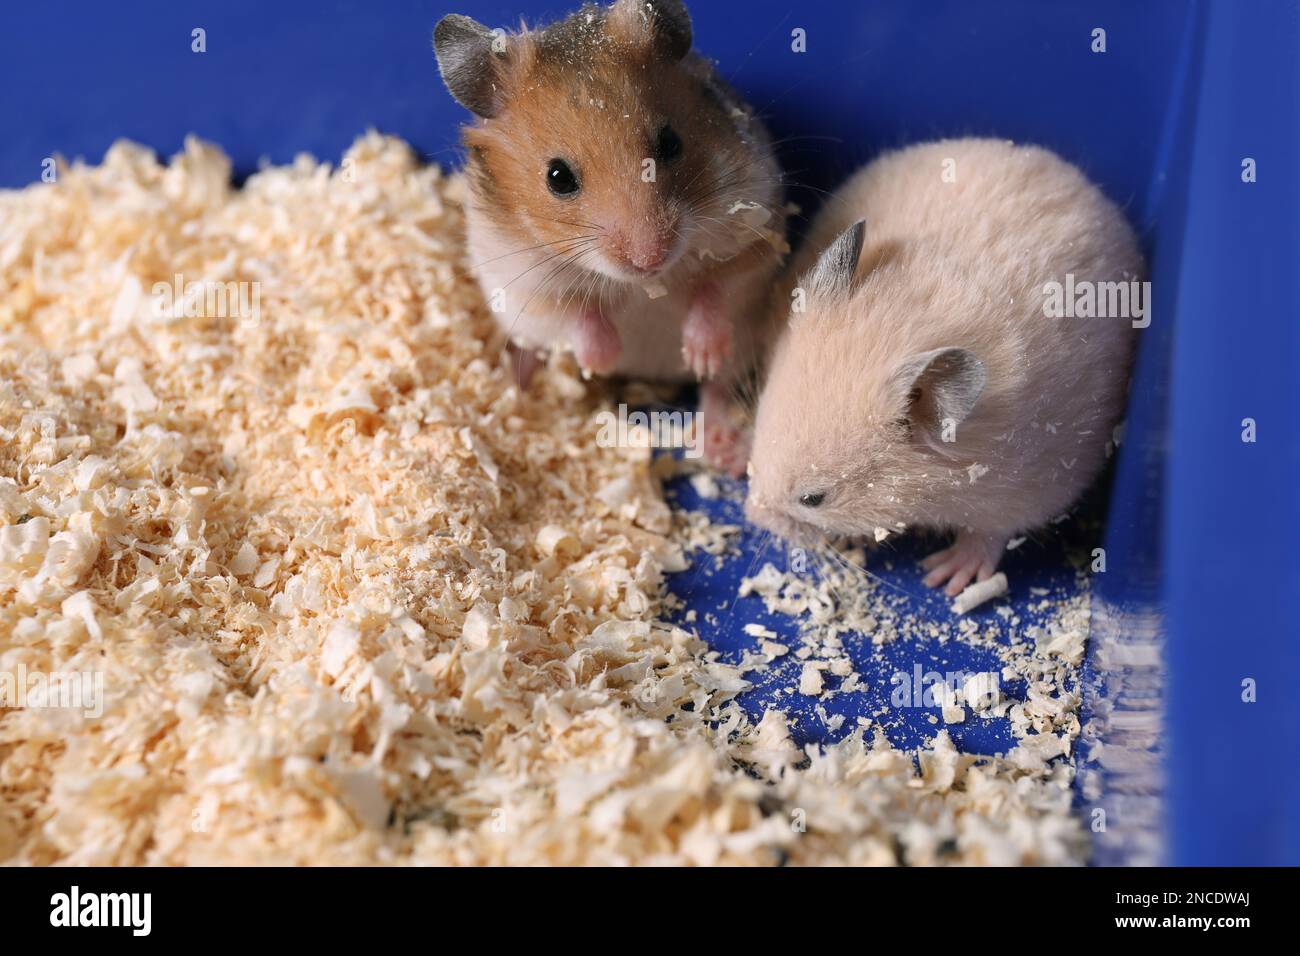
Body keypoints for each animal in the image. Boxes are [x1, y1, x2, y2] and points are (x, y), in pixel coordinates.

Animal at [433, 0, 788, 473]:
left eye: (670, 142)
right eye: (558, 177)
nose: (649, 257)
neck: (642, 286)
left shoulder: (755, 239)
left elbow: (716, 288)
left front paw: (701, 351)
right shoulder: (521, 281)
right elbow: (575, 312)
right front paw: (602, 360)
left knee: (717, 389)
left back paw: (723, 447)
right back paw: (519, 385)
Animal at [745, 138, 1144, 595]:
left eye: (813, 499)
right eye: (758, 432)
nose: (752, 517)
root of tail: (1087, 187)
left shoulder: (1025, 494)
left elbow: (989, 535)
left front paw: (945, 577)